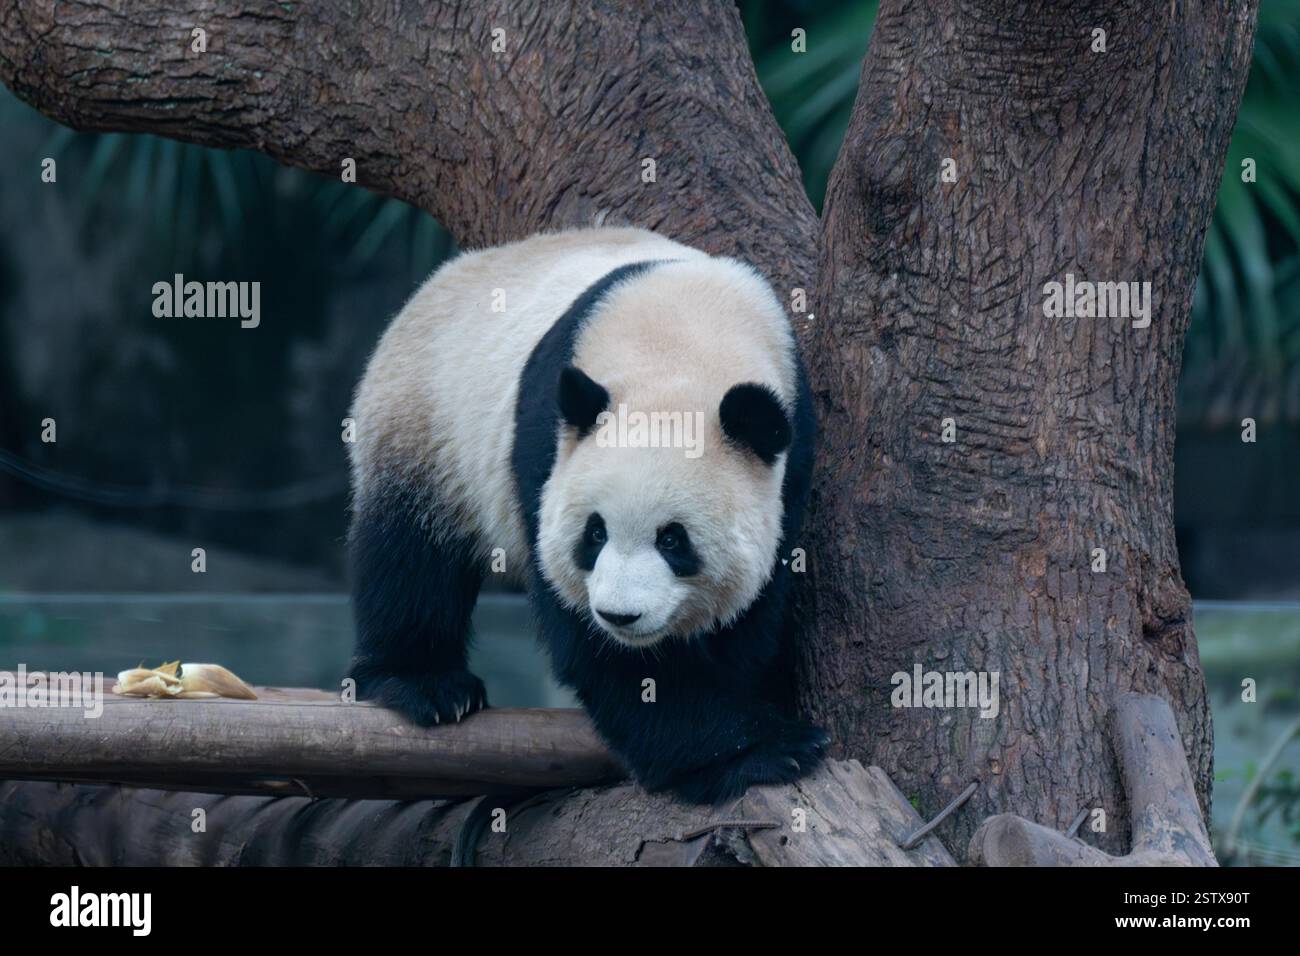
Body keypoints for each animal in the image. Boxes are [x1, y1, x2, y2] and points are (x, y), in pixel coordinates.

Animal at [346, 226, 828, 803]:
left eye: (674, 540)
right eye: (593, 533)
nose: (620, 616)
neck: (682, 346)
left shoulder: (792, 457)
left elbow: (754, 606)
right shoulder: (543, 450)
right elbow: (596, 646)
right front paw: (758, 753)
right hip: (425, 423)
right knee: (409, 557)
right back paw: (427, 685)